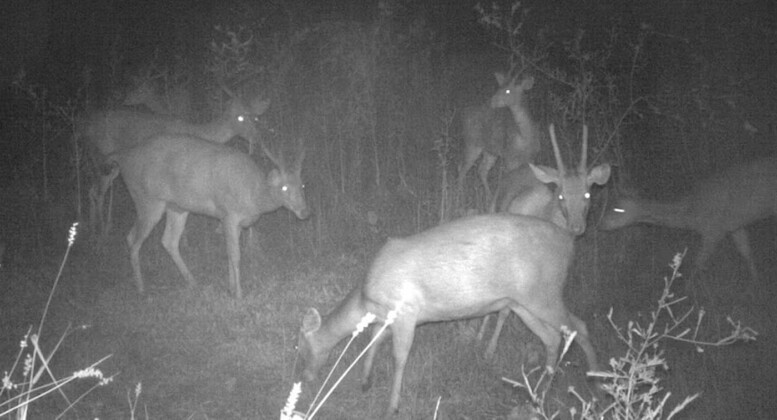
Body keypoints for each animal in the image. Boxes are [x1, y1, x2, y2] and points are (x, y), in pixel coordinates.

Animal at [78, 88, 270, 240]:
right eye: (240, 117)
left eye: (255, 117)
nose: (257, 138)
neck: (198, 131)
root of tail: (86, 128)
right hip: (102, 158)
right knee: (98, 193)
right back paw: (102, 231)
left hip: (107, 165)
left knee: (91, 190)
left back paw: (93, 228)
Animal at [107, 133, 309, 299]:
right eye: (284, 187)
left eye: (302, 185)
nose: (305, 212)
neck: (253, 195)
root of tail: (121, 157)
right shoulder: (229, 215)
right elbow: (235, 255)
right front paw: (239, 294)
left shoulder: (234, 222)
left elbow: (229, 254)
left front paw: (230, 288)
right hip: (148, 200)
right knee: (132, 238)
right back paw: (141, 288)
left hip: (177, 208)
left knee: (168, 241)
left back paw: (192, 282)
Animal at [298, 214, 600, 415]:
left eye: (304, 347)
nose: (305, 378)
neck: (367, 300)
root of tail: (569, 242)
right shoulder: (387, 316)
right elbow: (373, 340)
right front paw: (365, 381)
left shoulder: (406, 311)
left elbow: (398, 357)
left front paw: (392, 406)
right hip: (522, 303)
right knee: (553, 338)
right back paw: (540, 393)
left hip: (544, 293)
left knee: (581, 326)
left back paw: (596, 383)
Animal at [601, 157, 777, 283]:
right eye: (609, 204)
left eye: (618, 209)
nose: (601, 224)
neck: (691, 214)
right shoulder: (734, 225)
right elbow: (746, 252)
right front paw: (756, 282)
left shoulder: (714, 231)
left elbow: (698, 263)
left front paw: (688, 292)